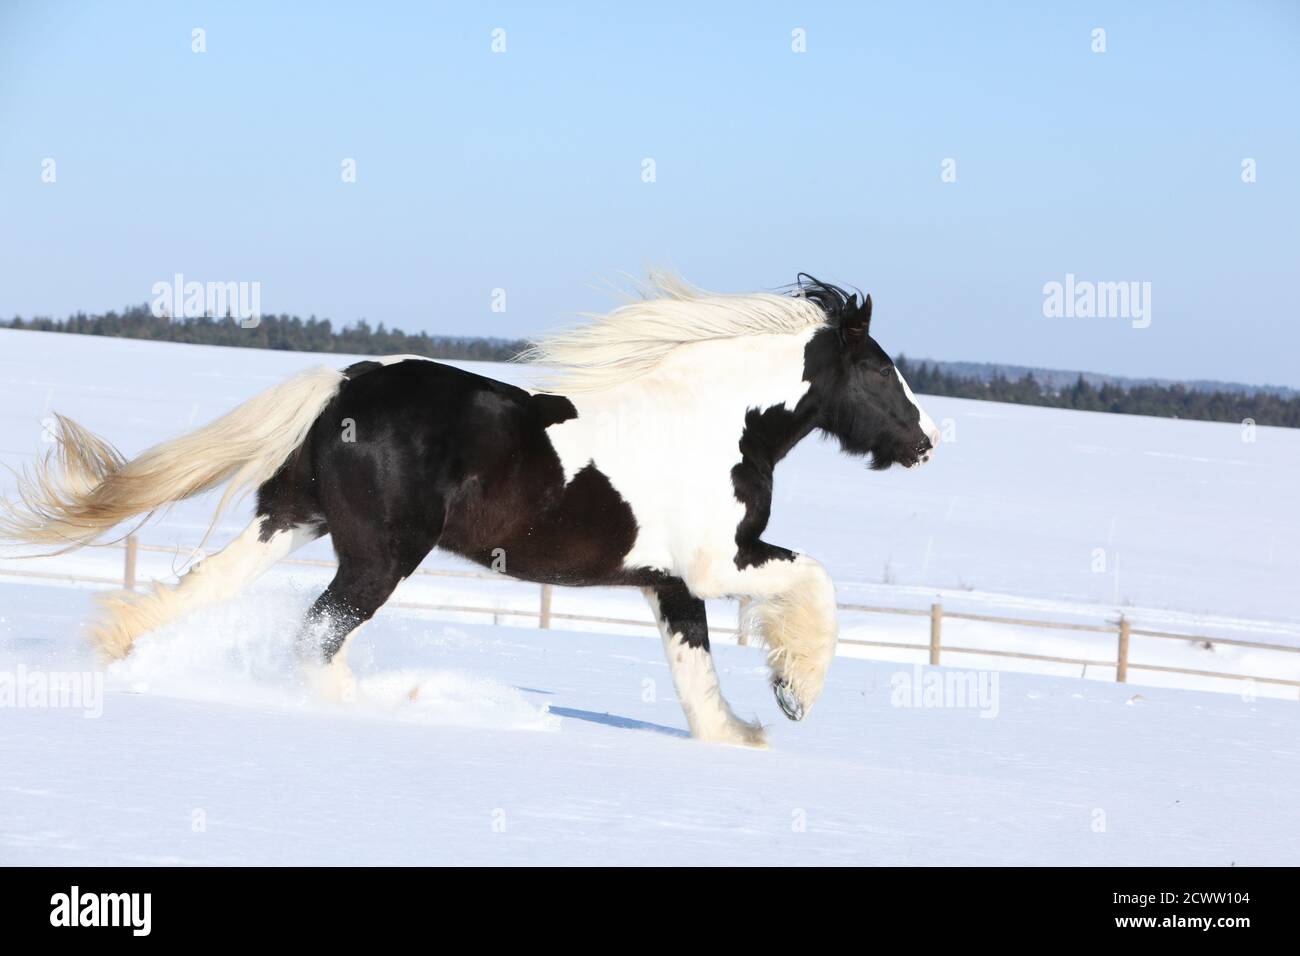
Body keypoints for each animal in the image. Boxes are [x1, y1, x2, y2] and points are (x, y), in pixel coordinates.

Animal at [0, 274, 938, 747]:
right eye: (879, 369)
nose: (926, 441)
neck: (720, 420)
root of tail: (348, 381)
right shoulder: (718, 561)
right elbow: (815, 582)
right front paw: (793, 693)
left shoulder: (671, 583)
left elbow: (694, 675)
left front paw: (741, 734)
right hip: (379, 556)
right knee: (316, 635)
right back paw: (391, 707)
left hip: (291, 520)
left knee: (203, 587)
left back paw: (118, 651)